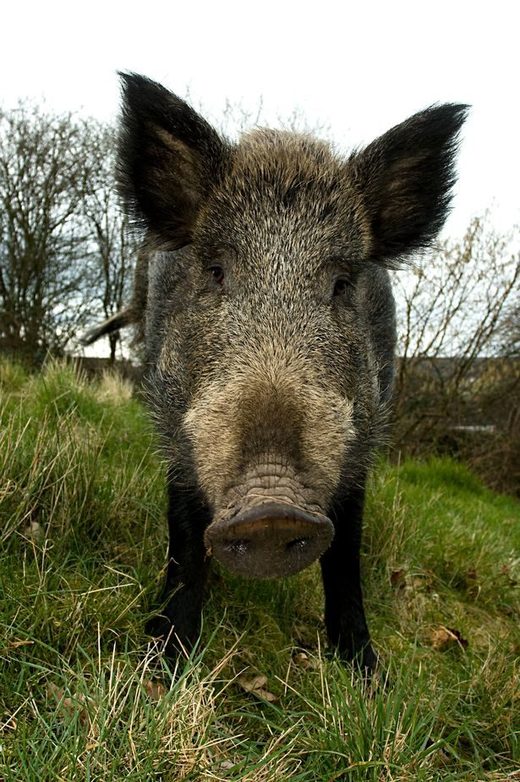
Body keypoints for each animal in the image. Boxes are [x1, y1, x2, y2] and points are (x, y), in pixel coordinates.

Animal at [88, 73, 467, 671]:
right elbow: (184, 536)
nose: (272, 509)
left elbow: (346, 552)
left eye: (341, 284)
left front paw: (366, 672)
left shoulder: (361, 435)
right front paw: (163, 662)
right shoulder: (177, 426)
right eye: (216, 272)